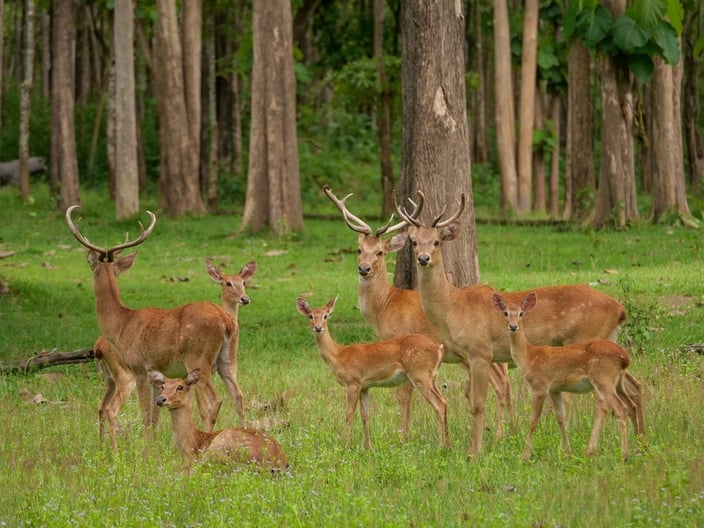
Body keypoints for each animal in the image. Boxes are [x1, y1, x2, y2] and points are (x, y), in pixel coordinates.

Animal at [66, 205, 246, 447]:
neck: (121, 324)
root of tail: (226, 320)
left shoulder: (139, 368)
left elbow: (146, 415)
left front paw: (145, 449)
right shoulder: (156, 376)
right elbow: (155, 416)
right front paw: (152, 446)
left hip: (198, 358)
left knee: (214, 401)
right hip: (228, 358)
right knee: (238, 395)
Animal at [149, 369, 288, 472]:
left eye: (180, 387)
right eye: (163, 386)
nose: (160, 399)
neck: (191, 439)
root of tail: (278, 460)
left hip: (221, 443)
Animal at [296, 295, 449, 450]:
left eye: (326, 316)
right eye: (310, 316)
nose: (318, 328)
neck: (338, 355)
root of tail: (439, 348)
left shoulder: (353, 381)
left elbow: (349, 414)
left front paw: (345, 446)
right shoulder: (365, 386)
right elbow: (365, 415)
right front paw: (368, 447)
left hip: (420, 373)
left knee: (439, 403)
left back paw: (441, 445)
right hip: (432, 376)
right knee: (444, 401)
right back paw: (449, 443)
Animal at [323, 185, 513, 442]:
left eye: (380, 252)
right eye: (359, 250)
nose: (364, 268)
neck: (384, 306)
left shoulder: (400, 341)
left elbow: (403, 395)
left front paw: (403, 435)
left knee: (501, 384)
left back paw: (499, 435)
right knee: (507, 382)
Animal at [492, 292, 639, 460]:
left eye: (521, 313)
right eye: (505, 313)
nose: (513, 326)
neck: (529, 357)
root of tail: (625, 357)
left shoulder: (540, 385)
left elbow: (533, 421)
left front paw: (524, 456)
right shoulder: (554, 389)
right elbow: (560, 418)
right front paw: (568, 452)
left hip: (603, 379)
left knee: (619, 408)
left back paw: (623, 455)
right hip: (617, 382)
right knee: (630, 402)